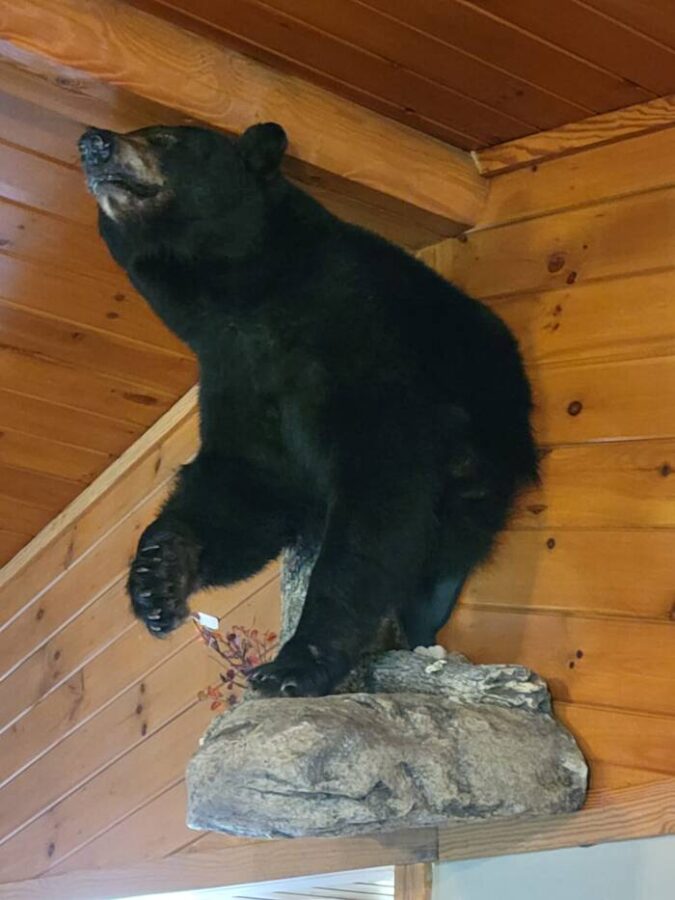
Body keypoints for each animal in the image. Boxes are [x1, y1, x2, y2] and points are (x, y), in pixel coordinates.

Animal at [79, 122, 538, 698]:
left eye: (166, 137)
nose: (93, 143)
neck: (248, 298)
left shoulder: (362, 344)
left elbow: (378, 497)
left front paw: (295, 664)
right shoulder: (237, 378)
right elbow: (245, 486)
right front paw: (157, 573)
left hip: (485, 441)